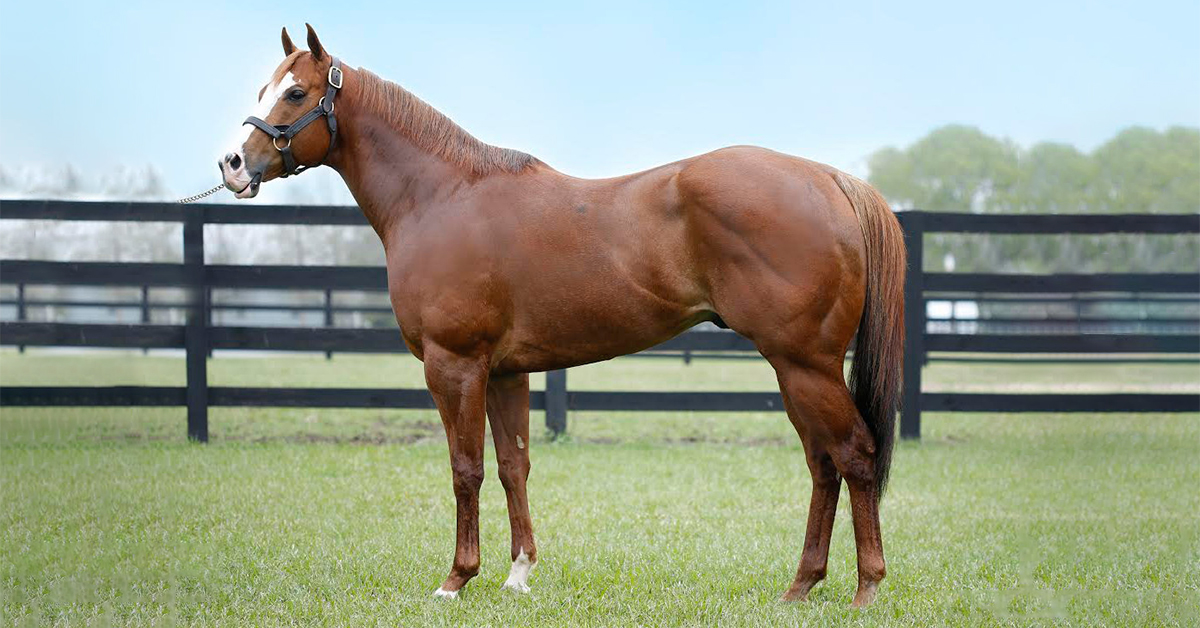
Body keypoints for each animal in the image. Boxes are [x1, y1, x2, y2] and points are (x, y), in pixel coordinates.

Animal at [219, 24, 906, 607]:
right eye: (263, 91)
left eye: (297, 92)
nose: (232, 164)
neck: (441, 196)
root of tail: (829, 179)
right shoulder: (504, 372)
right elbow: (512, 465)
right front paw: (518, 574)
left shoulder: (453, 366)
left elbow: (465, 469)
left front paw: (456, 579)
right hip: (795, 370)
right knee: (823, 464)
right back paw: (801, 586)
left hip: (804, 364)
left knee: (854, 455)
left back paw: (866, 587)